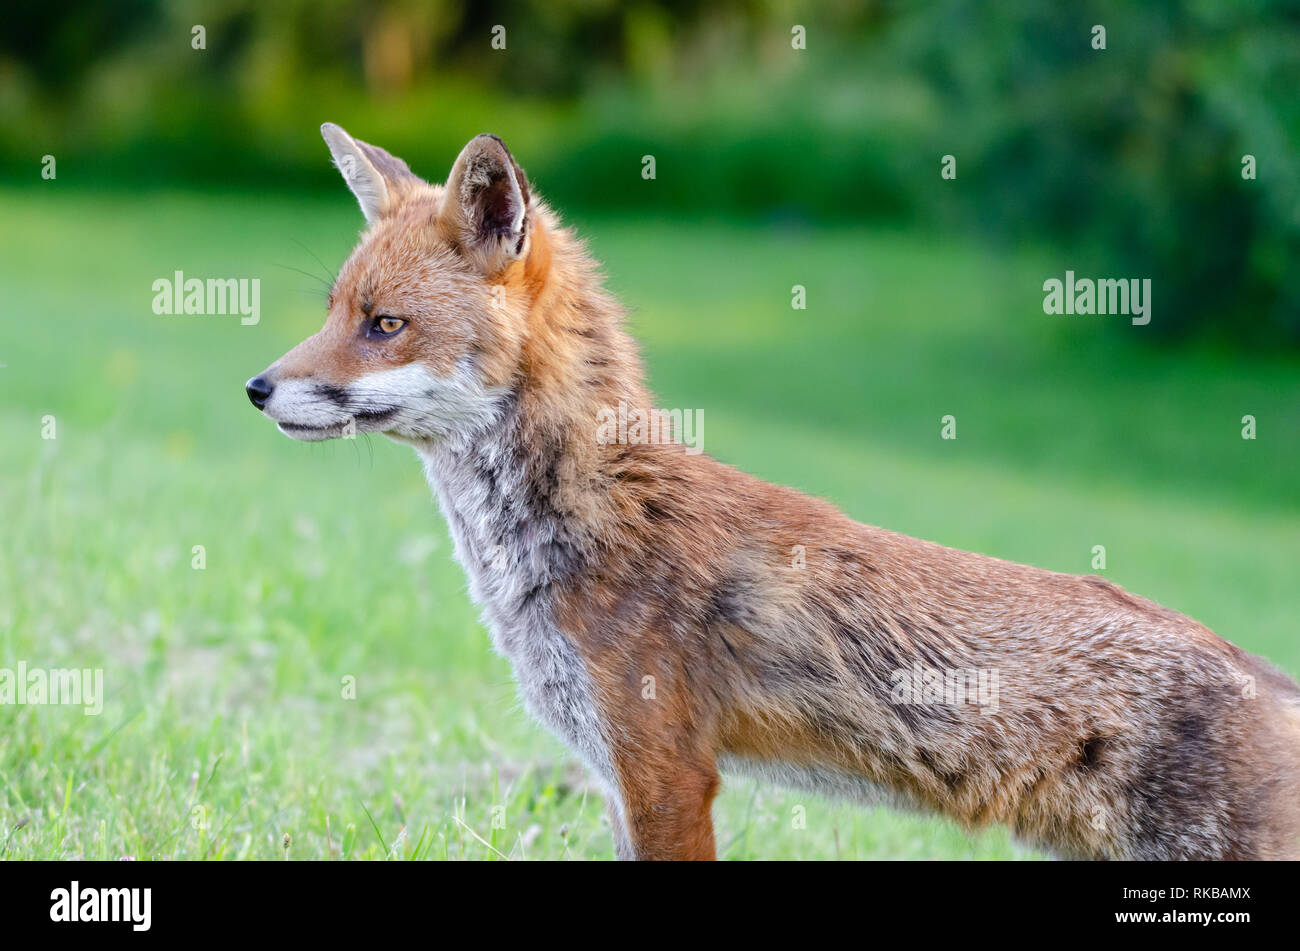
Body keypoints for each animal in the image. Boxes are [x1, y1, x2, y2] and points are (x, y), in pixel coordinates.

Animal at [246, 123, 1300, 860]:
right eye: (332, 311)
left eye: (385, 325)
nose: (257, 388)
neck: (595, 519)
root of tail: (1263, 671)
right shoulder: (618, 774)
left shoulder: (667, 772)